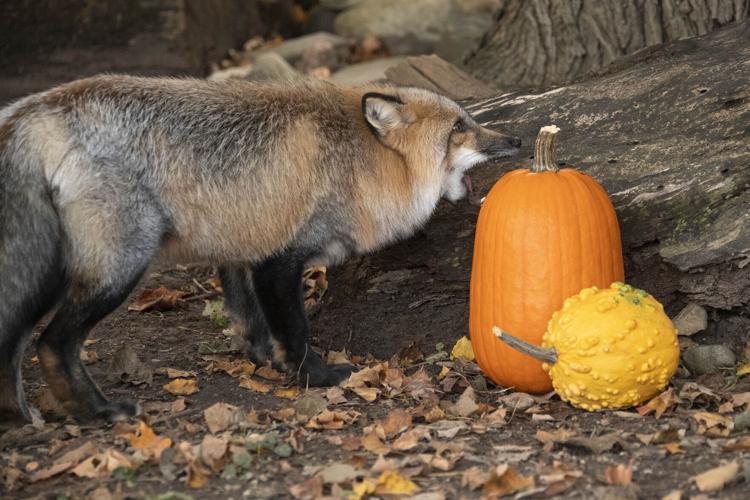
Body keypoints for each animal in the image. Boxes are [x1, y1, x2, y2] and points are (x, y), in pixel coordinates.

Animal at [0, 75, 520, 423]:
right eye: (459, 127)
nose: (515, 141)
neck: (356, 162)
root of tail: (39, 106)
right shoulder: (278, 259)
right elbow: (295, 329)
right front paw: (314, 375)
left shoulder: (243, 247)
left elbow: (252, 322)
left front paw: (266, 362)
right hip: (119, 267)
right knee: (51, 343)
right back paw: (98, 411)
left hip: (53, 273)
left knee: (16, 341)